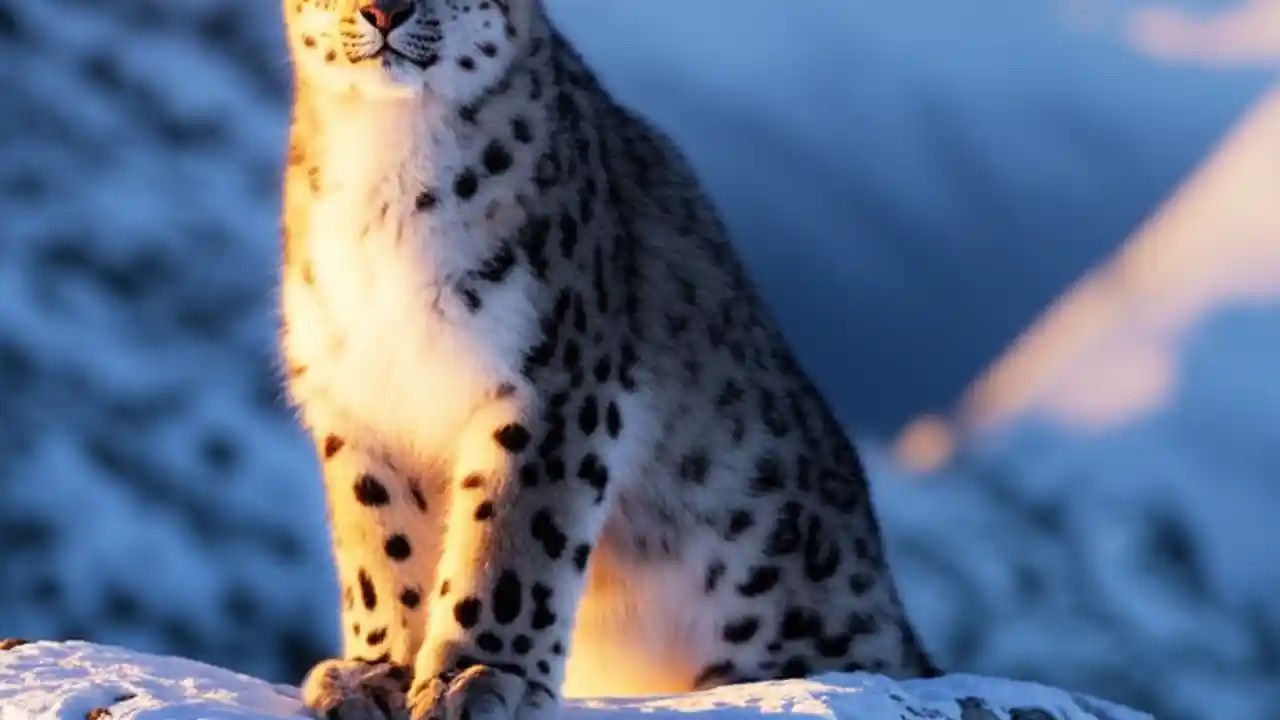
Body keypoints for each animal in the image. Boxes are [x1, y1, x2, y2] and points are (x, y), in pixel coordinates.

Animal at [277, 1, 940, 719]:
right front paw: (375, 673)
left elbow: (511, 534)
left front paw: (480, 675)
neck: (386, 167)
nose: (385, 10)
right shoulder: (358, 397)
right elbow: (382, 545)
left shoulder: (550, 378)